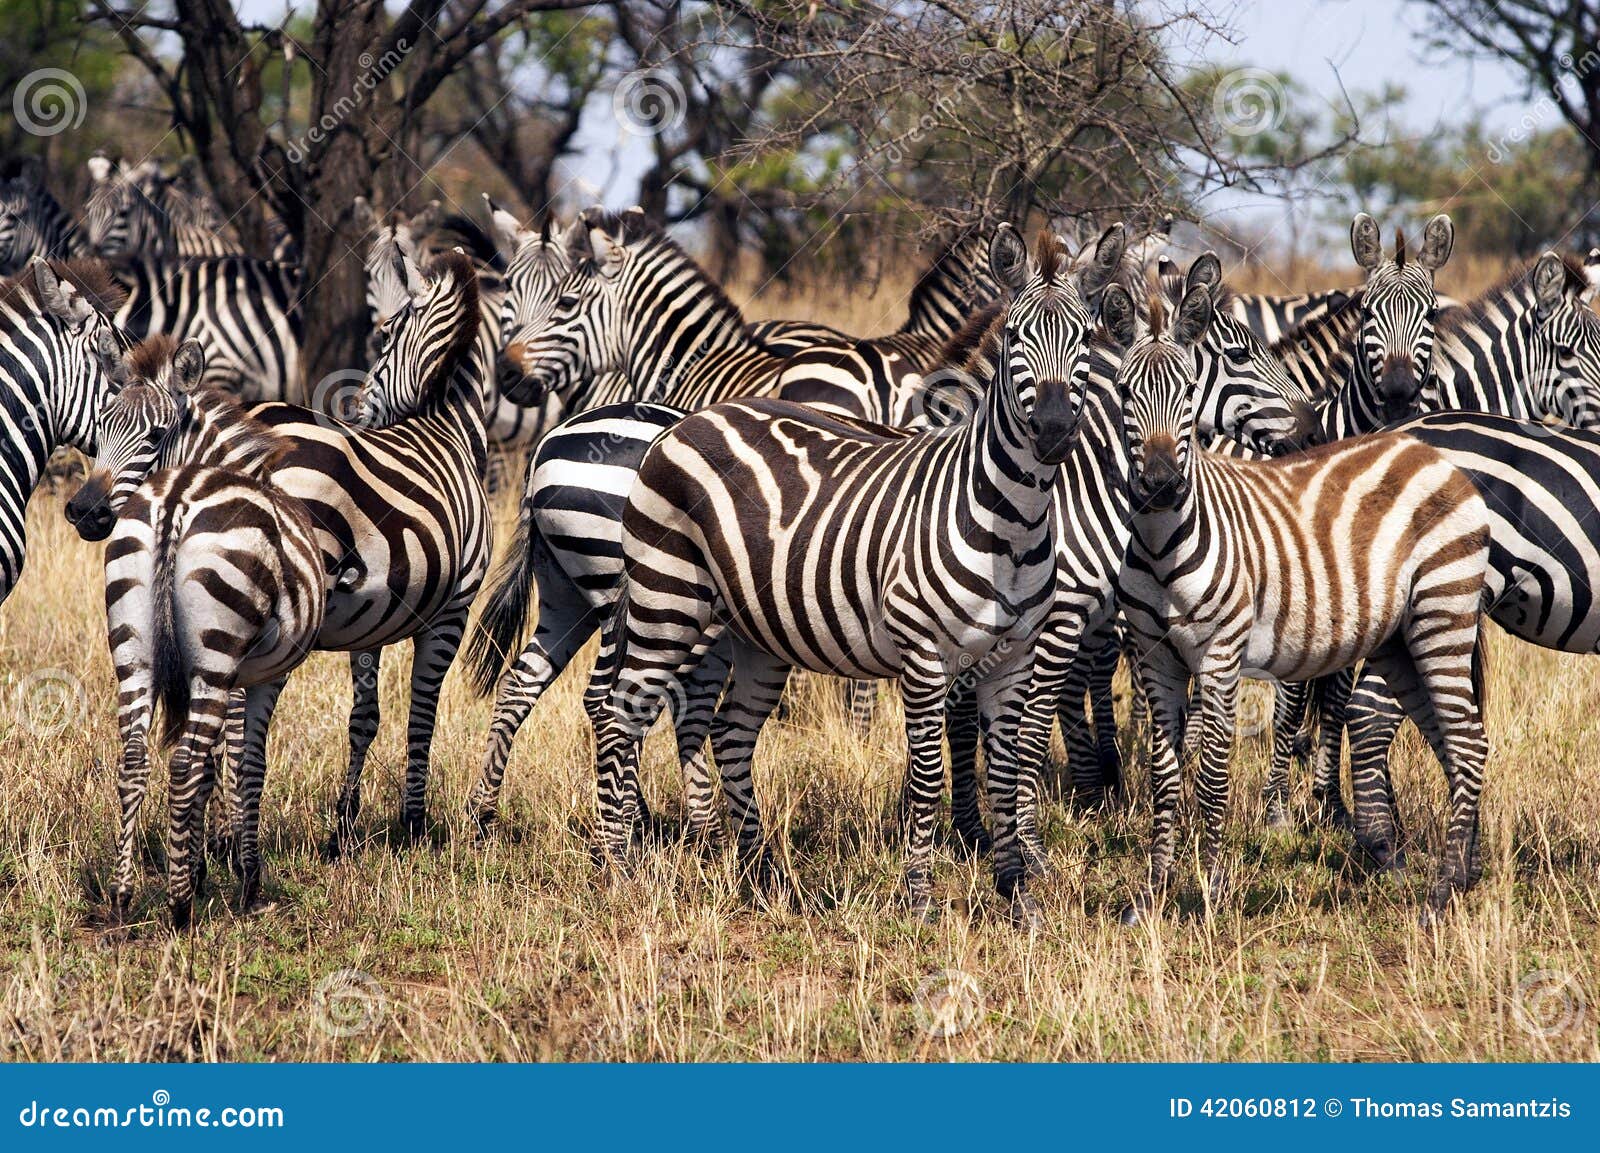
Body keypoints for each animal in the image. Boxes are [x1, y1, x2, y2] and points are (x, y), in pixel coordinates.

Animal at [65, 247, 492, 858]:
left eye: (384, 337)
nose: (83, 510)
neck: (449, 427)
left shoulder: (372, 620)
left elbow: (365, 716)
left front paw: (345, 826)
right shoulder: (453, 609)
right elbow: (422, 714)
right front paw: (413, 824)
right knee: (232, 719)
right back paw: (228, 835)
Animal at [65, 334, 326, 927]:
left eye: (156, 435)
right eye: (101, 427)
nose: (84, 512)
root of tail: (176, 498)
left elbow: (211, 766)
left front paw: (202, 863)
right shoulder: (256, 677)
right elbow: (243, 764)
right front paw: (243, 877)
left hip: (133, 647)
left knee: (134, 759)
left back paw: (123, 895)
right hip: (215, 653)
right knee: (182, 765)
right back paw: (180, 908)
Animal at [584, 224, 1123, 921]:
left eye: (1084, 339)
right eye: (1014, 338)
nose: (1055, 432)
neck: (1013, 518)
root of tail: (688, 418)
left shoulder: (1015, 654)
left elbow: (1007, 773)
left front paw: (1016, 893)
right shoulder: (924, 655)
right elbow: (926, 776)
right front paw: (920, 899)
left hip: (755, 632)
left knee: (729, 732)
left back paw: (761, 875)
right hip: (667, 600)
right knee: (621, 714)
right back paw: (617, 869)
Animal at [1103, 278, 1492, 921]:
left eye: (1187, 391)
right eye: (1126, 394)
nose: (1160, 484)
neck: (1162, 541)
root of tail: (1426, 452)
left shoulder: (1221, 655)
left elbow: (1212, 775)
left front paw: (1211, 890)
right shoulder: (1156, 657)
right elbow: (1164, 775)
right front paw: (1154, 894)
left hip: (1443, 613)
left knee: (1468, 740)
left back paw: (1440, 896)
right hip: (1402, 641)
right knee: (1454, 743)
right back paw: (1461, 877)